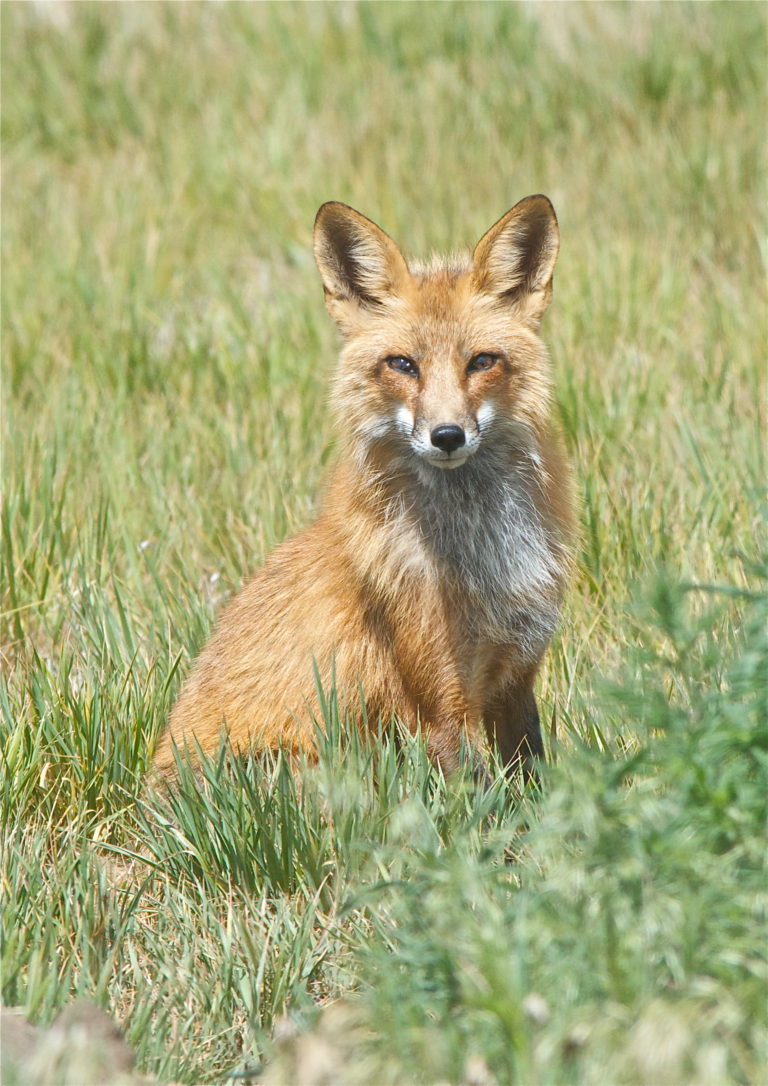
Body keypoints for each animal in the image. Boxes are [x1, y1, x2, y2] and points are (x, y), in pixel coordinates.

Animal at [153, 195, 576, 781]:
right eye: (402, 364)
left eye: (482, 362)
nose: (447, 435)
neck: (483, 559)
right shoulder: (441, 696)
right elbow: (477, 796)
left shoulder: (515, 675)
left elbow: (535, 780)